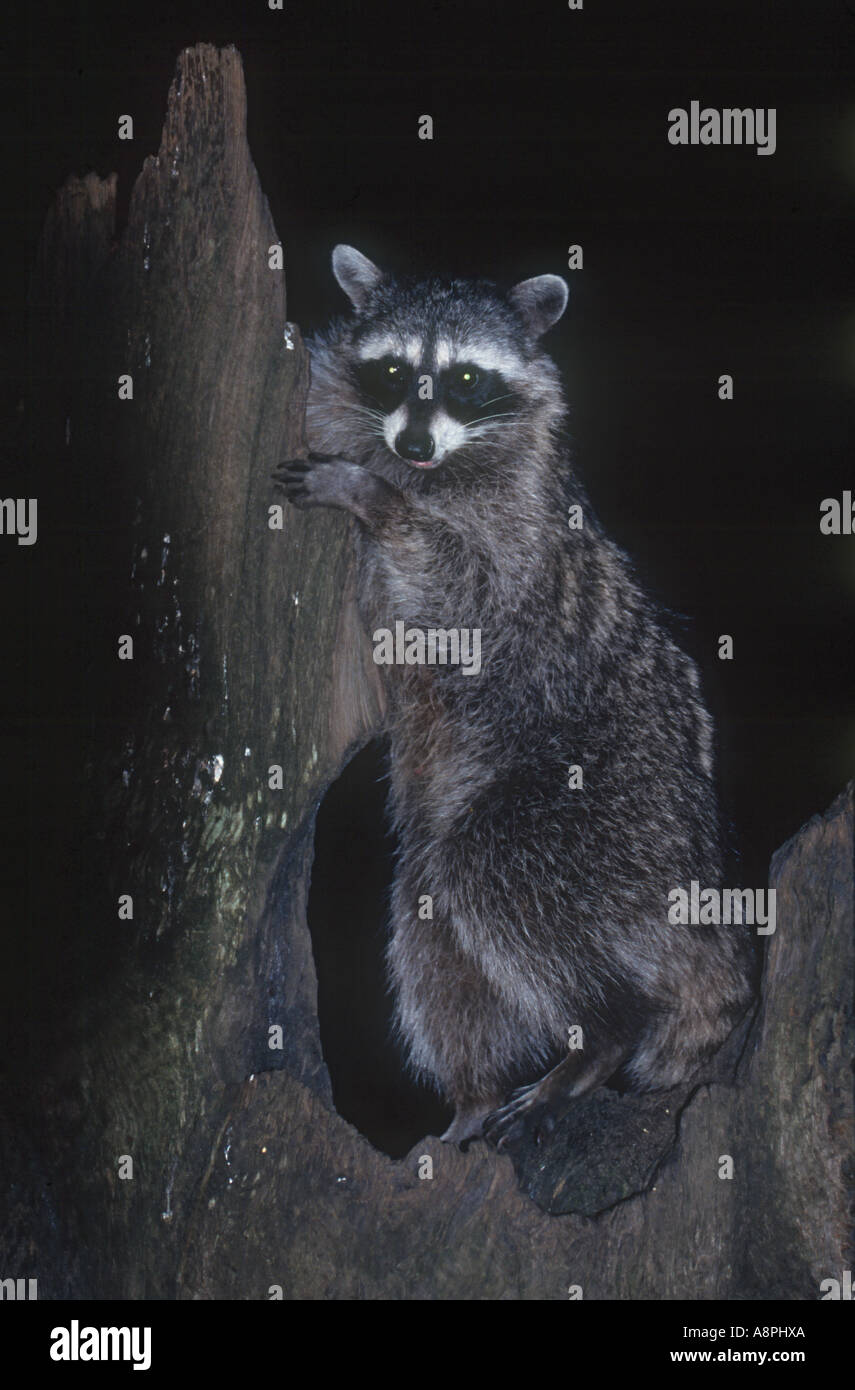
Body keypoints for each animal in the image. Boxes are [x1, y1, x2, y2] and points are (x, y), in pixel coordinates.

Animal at [277, 245, 754, 1148]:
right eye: (394, 370)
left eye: (465, 378)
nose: (414, 442)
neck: (433, 464)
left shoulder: (520, 541)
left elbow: (465, 597)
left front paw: (377, 500)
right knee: (430, 918)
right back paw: (473, 1093)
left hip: (597, 814)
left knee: (493, 875)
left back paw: (600, 1033)